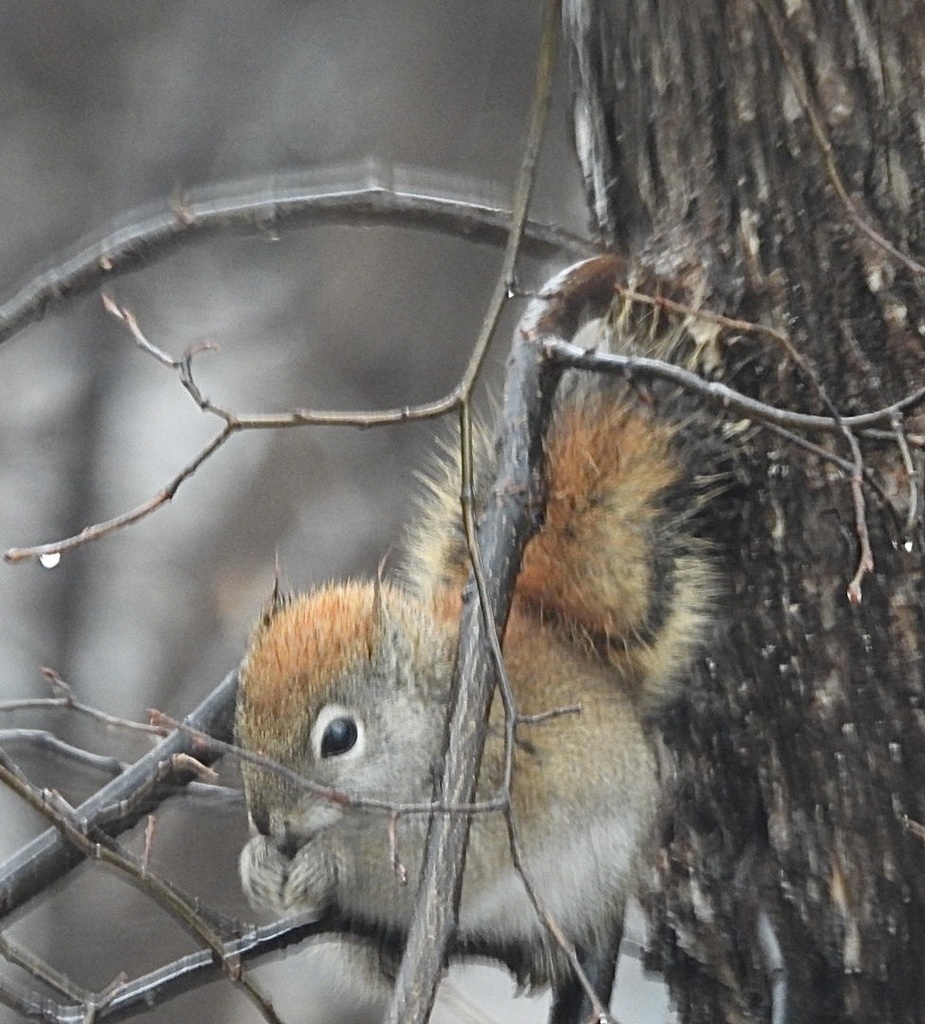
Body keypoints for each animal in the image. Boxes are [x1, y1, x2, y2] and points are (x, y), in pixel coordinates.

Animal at [234, 256, 717, 1009]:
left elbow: (389, 874)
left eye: (338, 738)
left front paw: (325, 865)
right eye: (239, 723)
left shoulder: (481, 795)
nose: (269, 823)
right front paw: (257, 863)